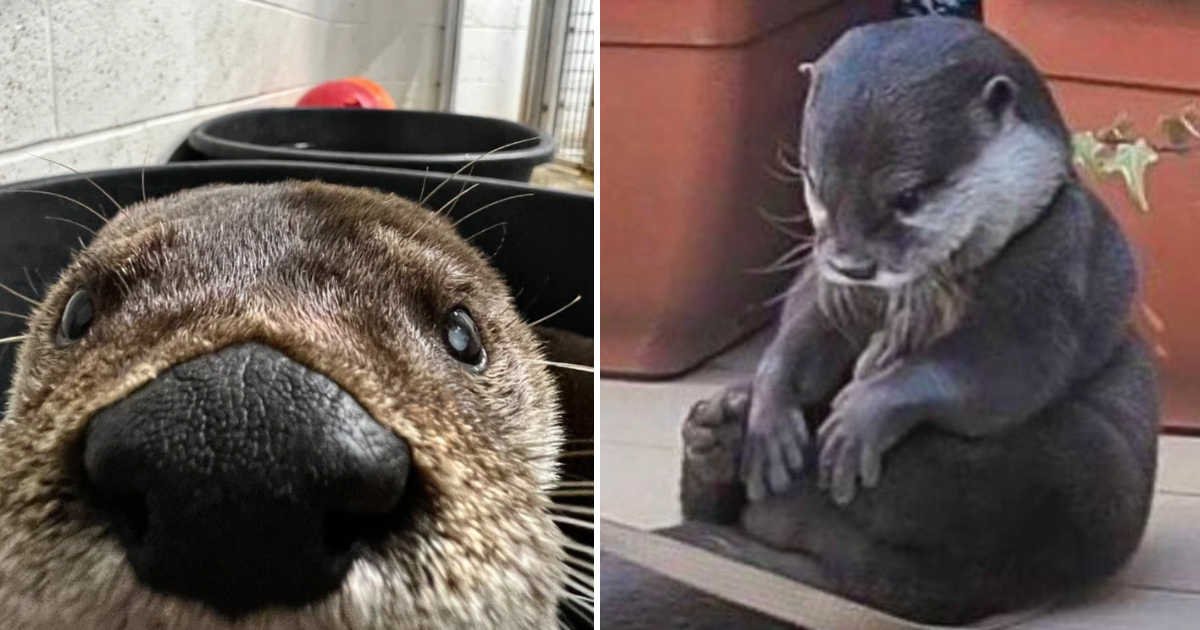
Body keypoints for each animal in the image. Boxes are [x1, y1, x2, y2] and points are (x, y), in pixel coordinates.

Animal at [680, 17, 1158, 624]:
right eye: (815, 181)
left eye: (907, 195)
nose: (853, 264)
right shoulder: (824, 285)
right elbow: (802, 337)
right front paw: (768, 409)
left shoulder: (1058, 258)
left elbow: (999, 371)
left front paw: (864, 412)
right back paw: (719, 431)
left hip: (1081, 469)